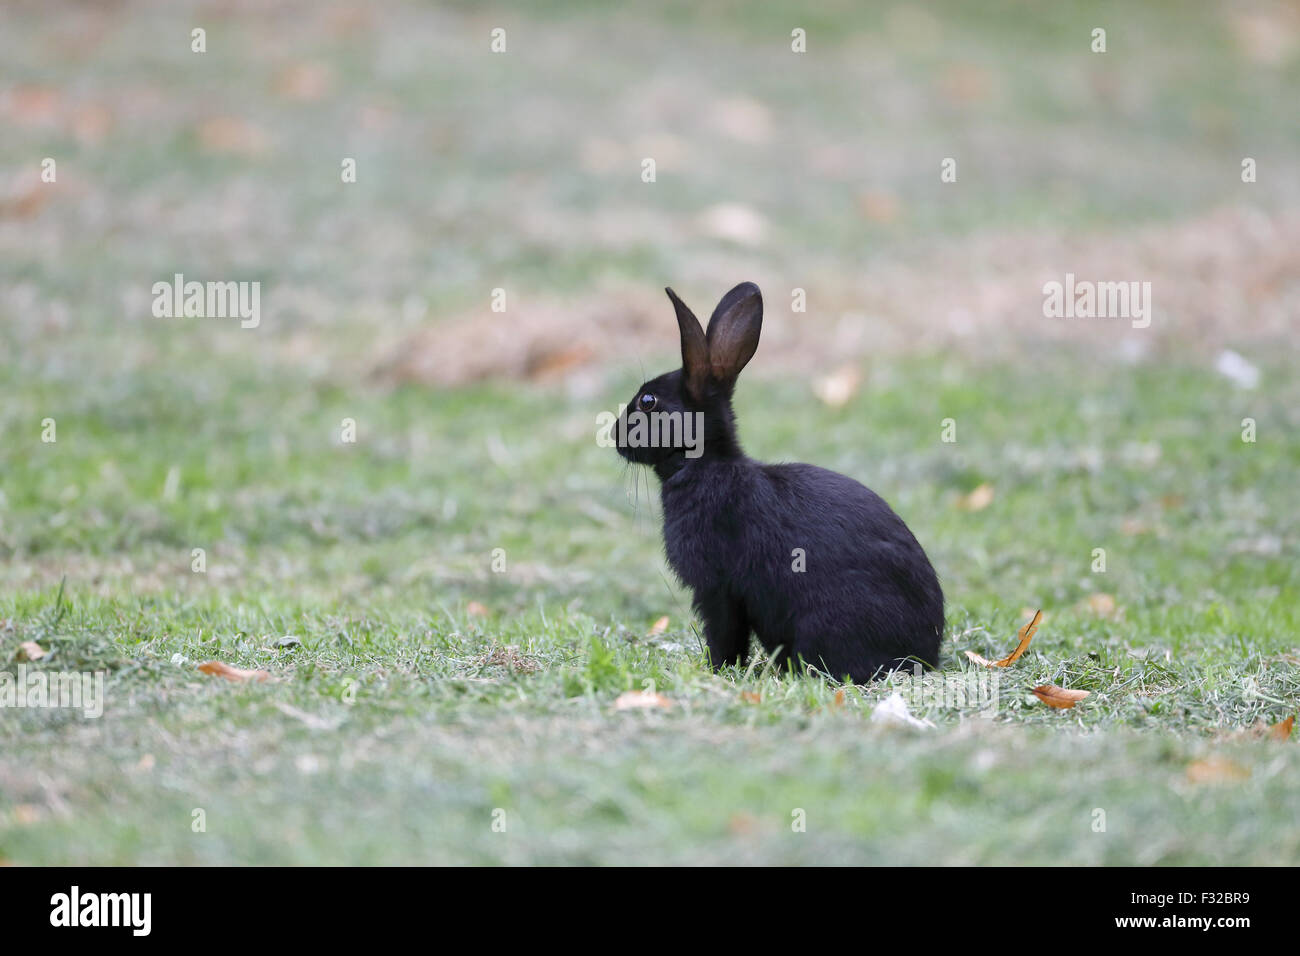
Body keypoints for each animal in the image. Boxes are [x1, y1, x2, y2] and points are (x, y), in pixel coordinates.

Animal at [614, 281, 944, 682]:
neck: (706, 462)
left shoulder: (718, 588)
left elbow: (725, 635)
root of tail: (926, 654)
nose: (614, 436)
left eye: (648, 401)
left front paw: (717, 670)